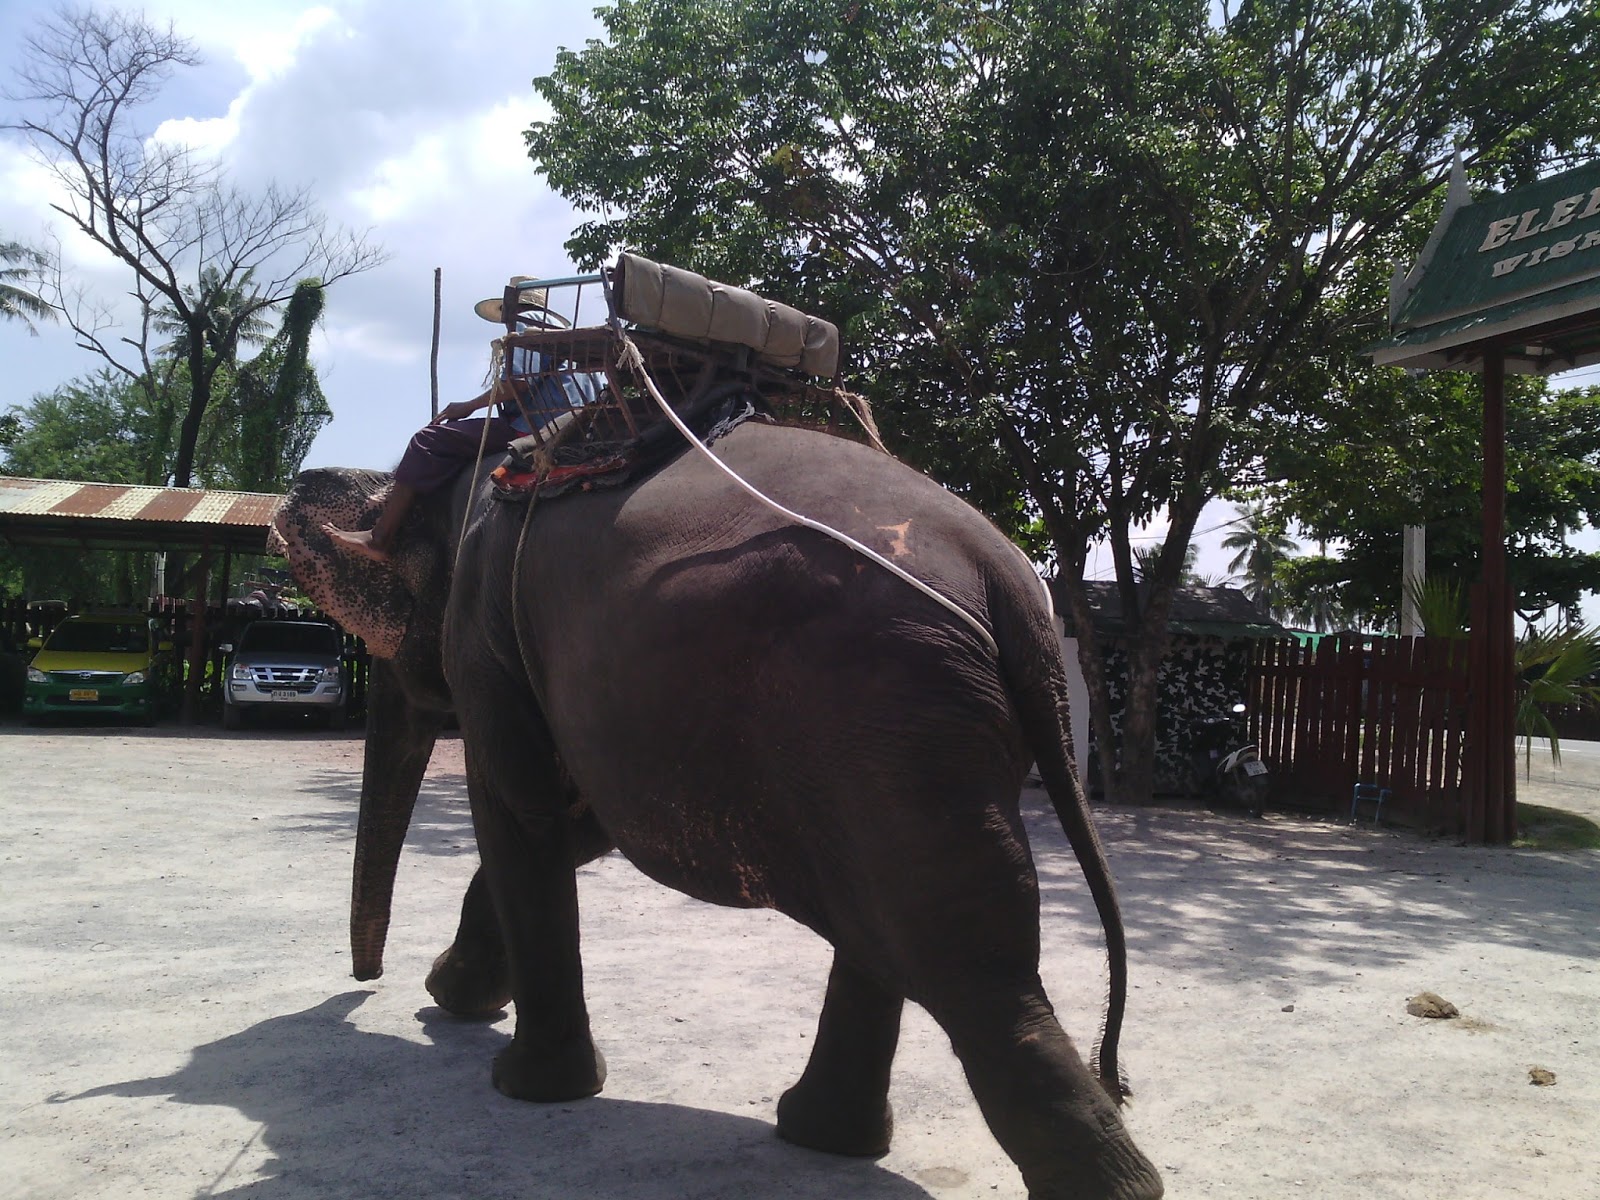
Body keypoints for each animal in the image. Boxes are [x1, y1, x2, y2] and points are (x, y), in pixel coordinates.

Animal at [275, 418, 1163, 1200]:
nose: (367, 982)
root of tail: (1012, 587)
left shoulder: (486, 627)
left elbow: (520, 811)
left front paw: (518, 1076)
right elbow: (579, 819)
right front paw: (457, 997)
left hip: (892, 706)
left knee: (969, 964)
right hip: (904, 737)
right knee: (896, 925)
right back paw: (824, 1136)